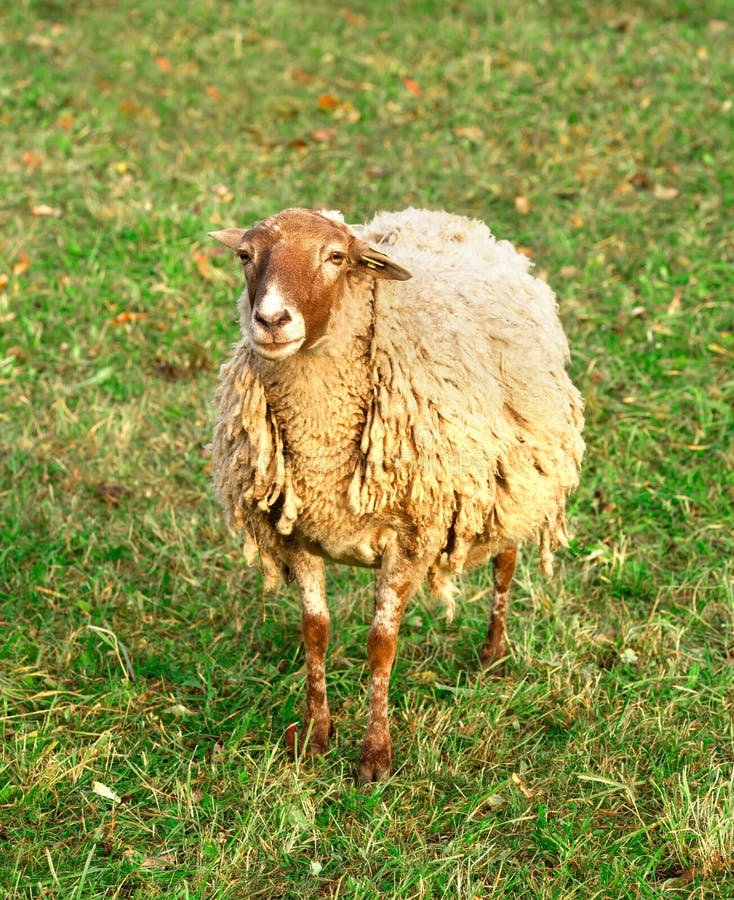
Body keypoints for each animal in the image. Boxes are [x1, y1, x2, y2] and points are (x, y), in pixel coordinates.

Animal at [209, 207, 584, 783]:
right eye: (245, 256)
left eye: (335, 257)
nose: (271, 321)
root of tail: (447, 219)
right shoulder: (295, 532)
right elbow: (315, 631)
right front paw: (315, 736)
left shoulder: (412, 536)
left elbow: (381, 644)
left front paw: (374, 757)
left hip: (512, 478)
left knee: (505, 560)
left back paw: (494, 653)